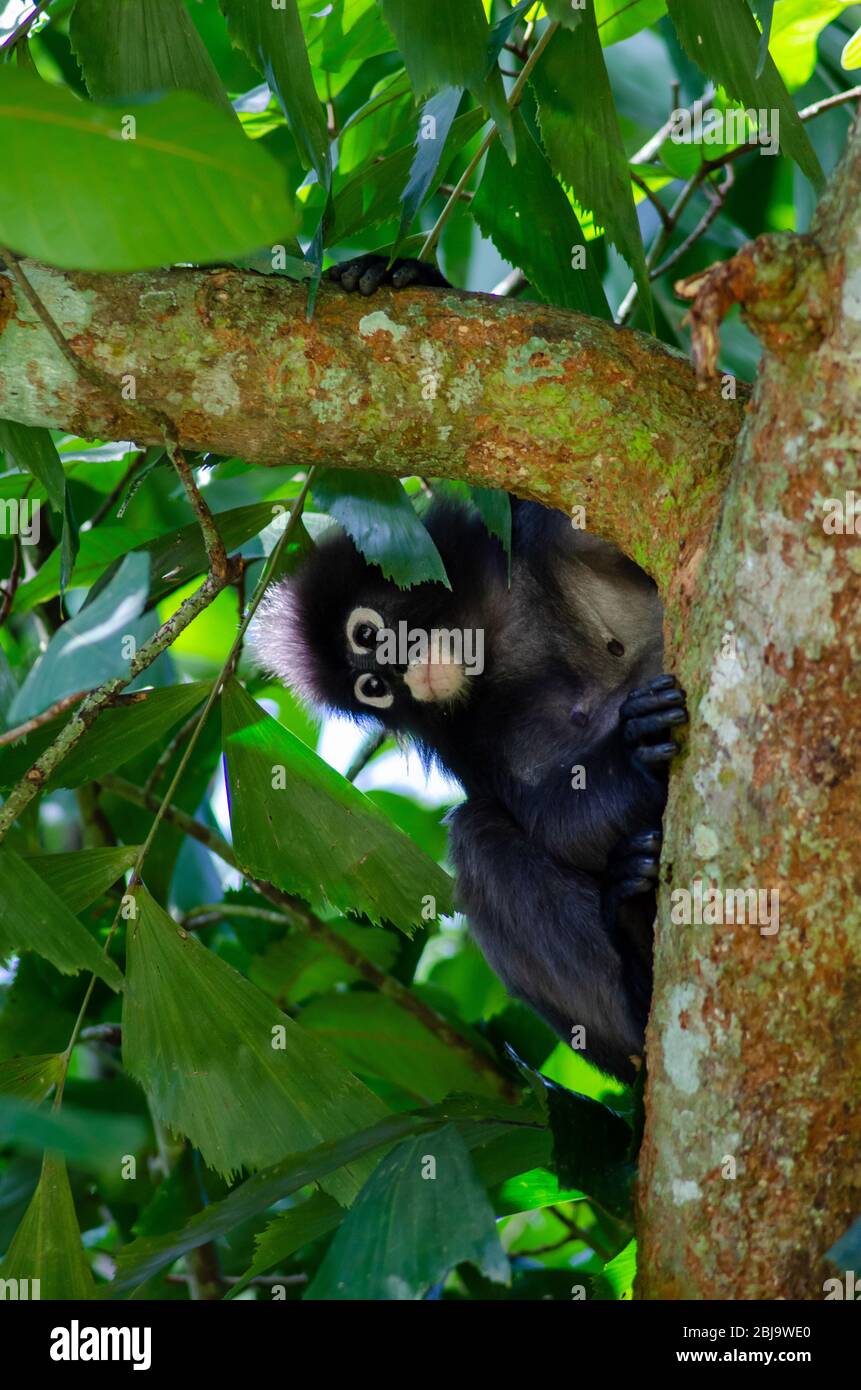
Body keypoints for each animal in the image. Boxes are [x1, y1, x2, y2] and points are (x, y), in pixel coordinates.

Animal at [250, 255, 687, 1083]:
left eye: (368, 634)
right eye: (370, 690)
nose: (400, 677)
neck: (500, 630)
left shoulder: (534, 530)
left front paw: (397, 274)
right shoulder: (462, 736)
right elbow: (553, 820)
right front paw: (636, 753)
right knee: (478, 834)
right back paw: (636, 969)